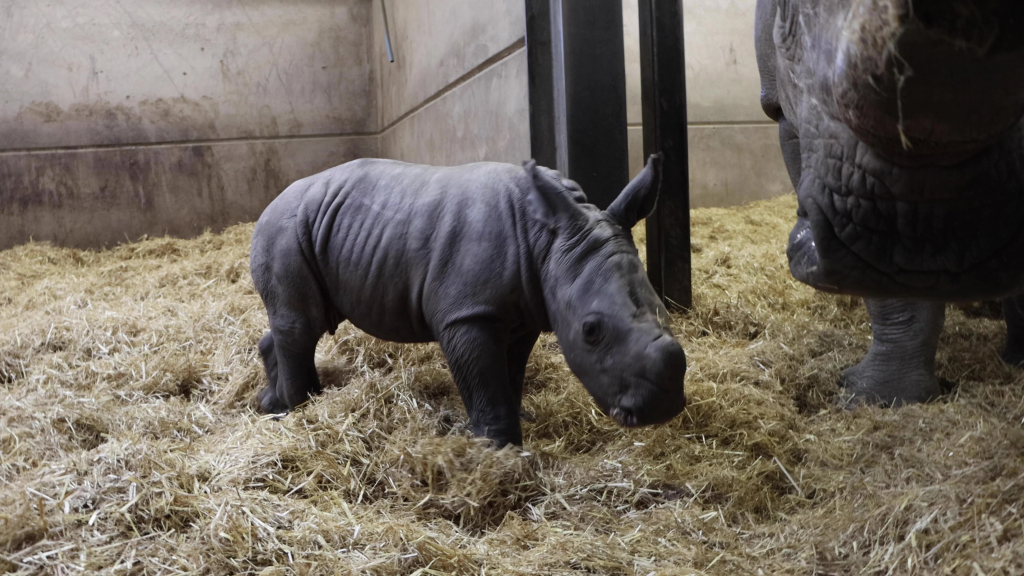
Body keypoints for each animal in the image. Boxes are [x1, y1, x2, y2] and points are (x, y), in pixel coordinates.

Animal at [249, 155, 687, 446]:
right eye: (591, 331)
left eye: (663, 308)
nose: (662, 407)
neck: (550, 241)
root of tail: (266, 206)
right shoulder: (468, 314)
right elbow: (484, 382)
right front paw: (499, 449)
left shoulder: (523, 315)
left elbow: (511, 372)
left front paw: (516, 421)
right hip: (284, 230)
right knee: (302, 323)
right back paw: (301, 408)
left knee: (304, 322)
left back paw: (270, 404)